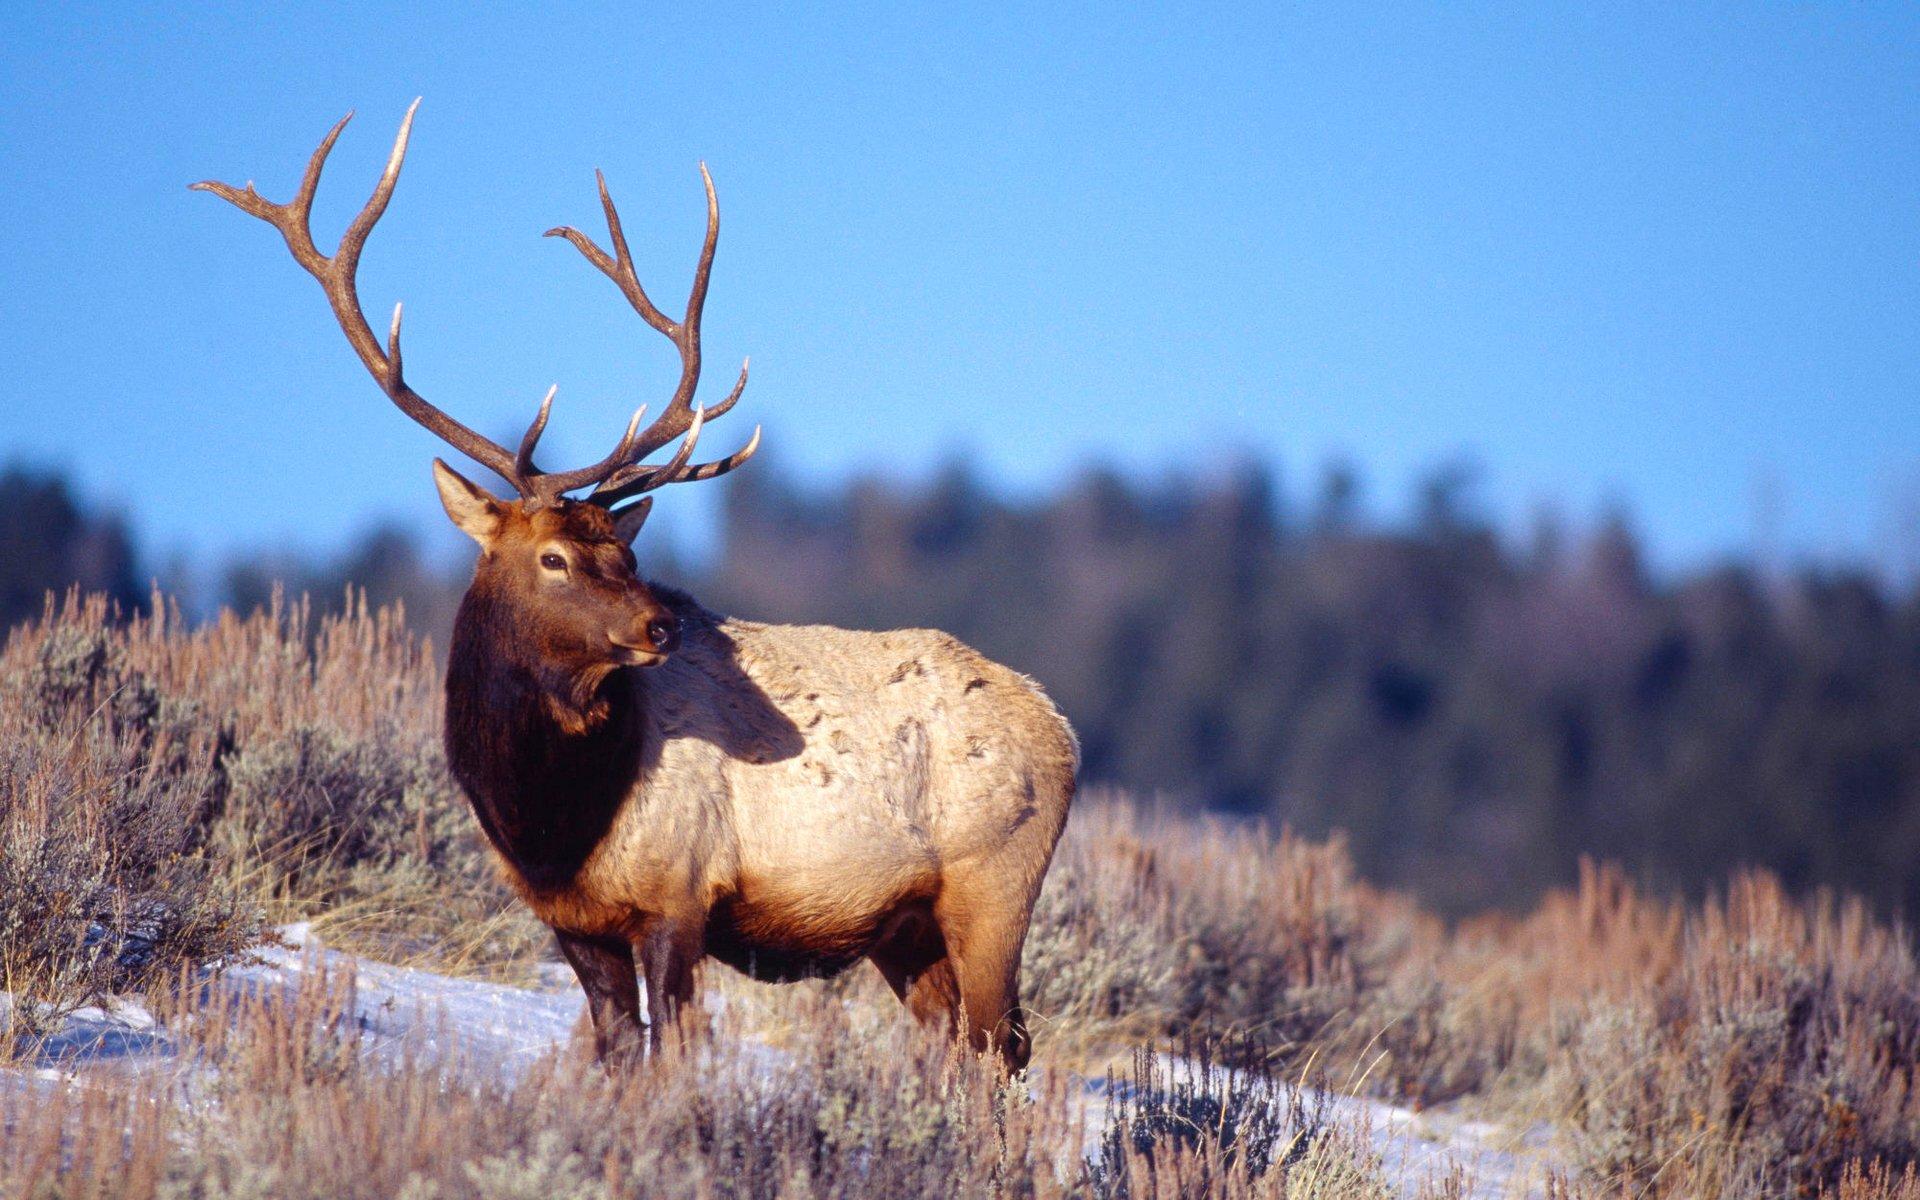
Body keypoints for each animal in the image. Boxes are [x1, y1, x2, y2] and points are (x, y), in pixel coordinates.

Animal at [193, 103, 1077, 1071]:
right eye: (554, 557)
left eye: (623, 546)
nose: (662, 627)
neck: (550, 821)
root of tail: (1064, 731)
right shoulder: (572, 922)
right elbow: (618, 1053)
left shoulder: (677, 894)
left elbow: (674, 1056)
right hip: (905, 929)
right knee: (966, 1051)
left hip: (992, 886)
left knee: (1000, 1049)